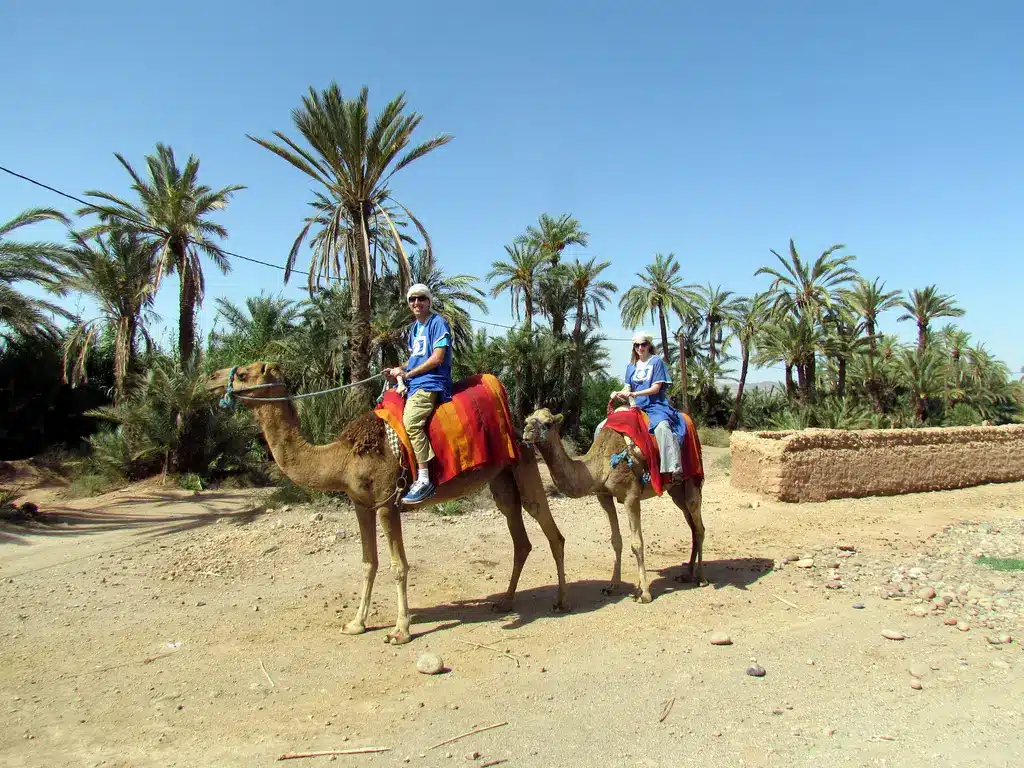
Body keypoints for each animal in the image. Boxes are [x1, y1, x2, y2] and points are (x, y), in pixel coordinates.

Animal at [205, 362, 570, 645]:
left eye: (245, 372)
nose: (210, 377)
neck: (343, 458)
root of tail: (517, 425)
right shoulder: (361, 505)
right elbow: (369, 562)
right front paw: (356, 623)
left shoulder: (386, 504)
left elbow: (399, 566)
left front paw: (401, 630)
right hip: (501, 479)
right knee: (519, 537)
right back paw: (505, 602)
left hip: (524, 463)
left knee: (551, 530)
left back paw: (561, 601)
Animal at [522, 408, 705, 603]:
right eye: (527, 419)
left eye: (548, 423)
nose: (526, 431)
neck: (600, 466)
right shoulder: (603, 496)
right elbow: (616, 541)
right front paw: (612, 586)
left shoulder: (631, 496)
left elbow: (637, 543)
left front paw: (644, 593)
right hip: (676, 491)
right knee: (692, 526)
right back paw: (687, 574)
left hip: (692, 479)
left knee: (699, 526)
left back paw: (700, 578)